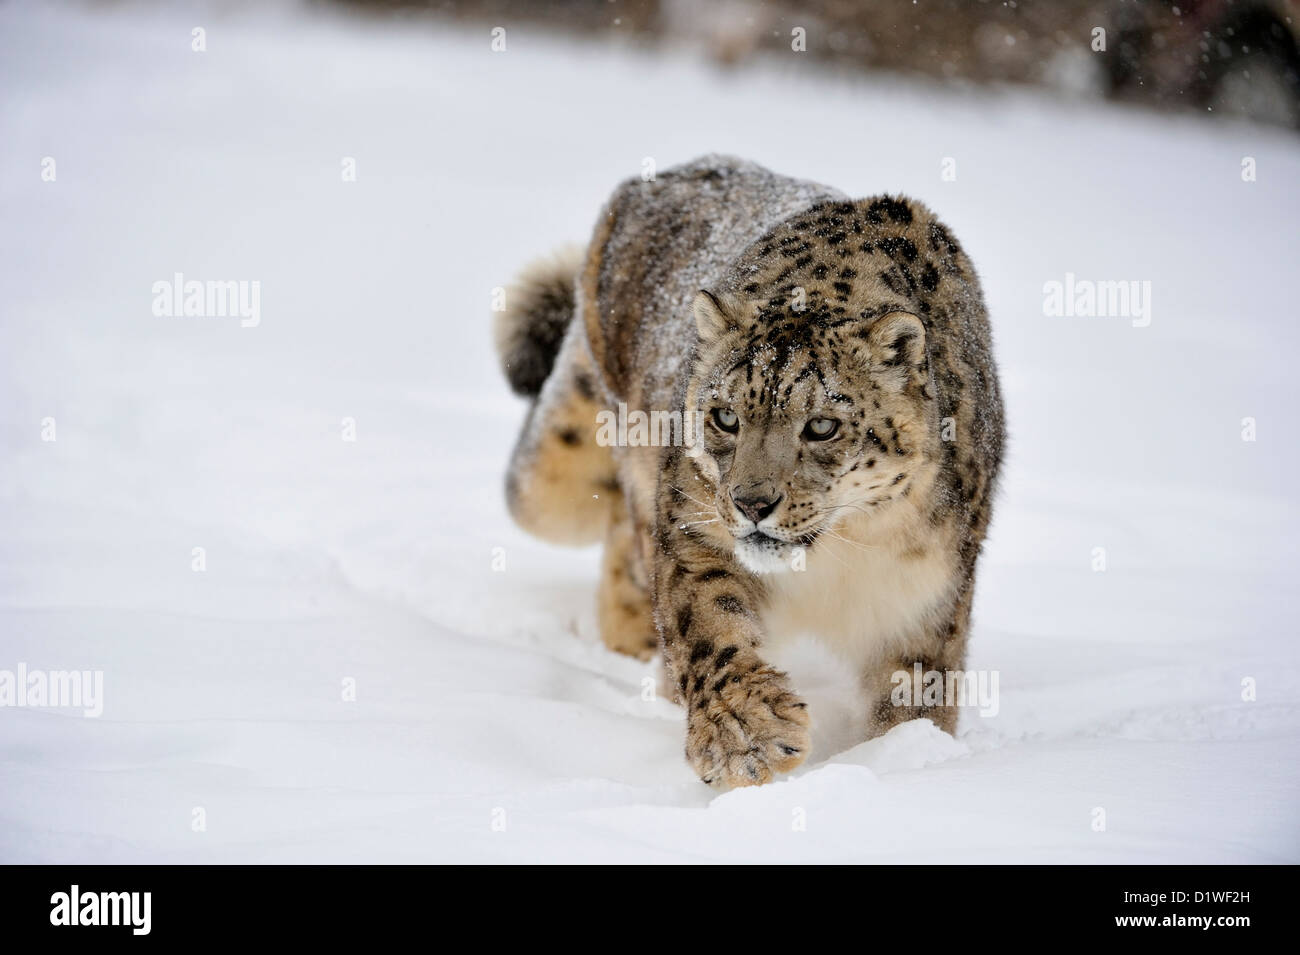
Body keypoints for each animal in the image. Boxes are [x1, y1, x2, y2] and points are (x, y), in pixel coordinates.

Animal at [495, 155, 1004, 788]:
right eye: (726, 415)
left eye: (822, 426)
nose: (751, 503)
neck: (840, 556)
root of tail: (658, 177)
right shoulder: (695, 527)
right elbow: (708, 627)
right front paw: (746, 738)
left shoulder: (921, 600)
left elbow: (915, 698)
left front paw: (896, 758)